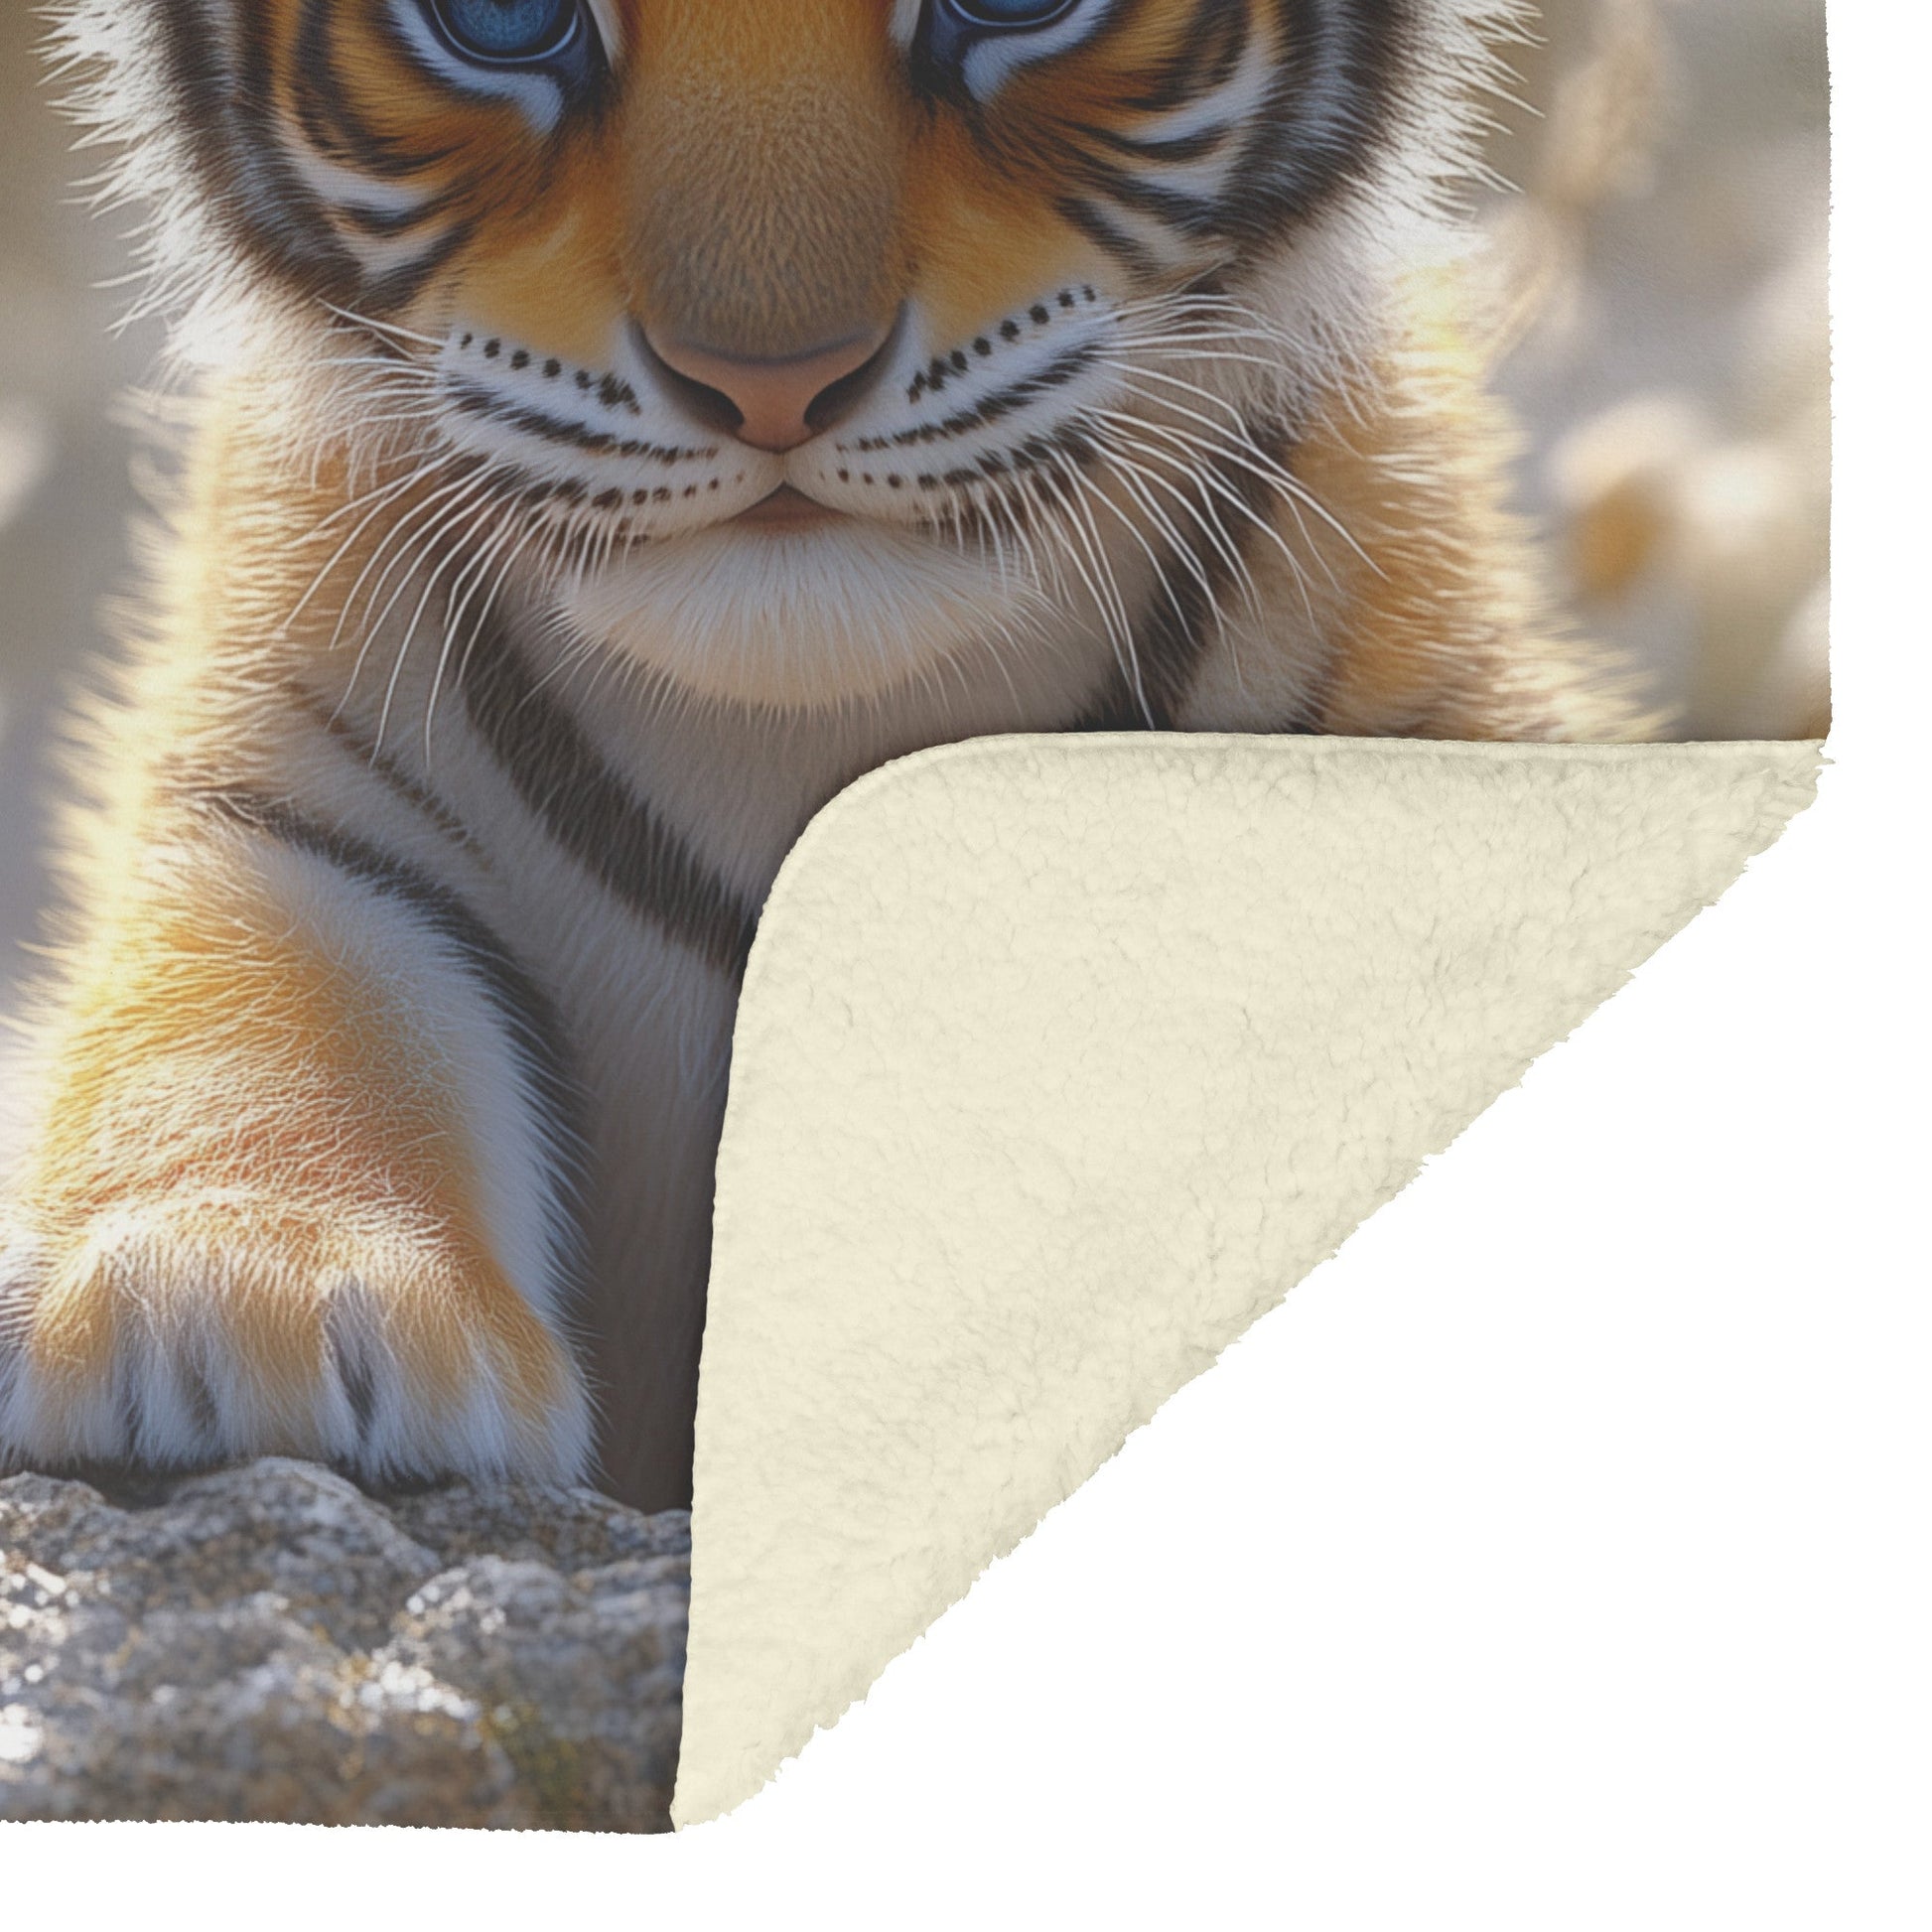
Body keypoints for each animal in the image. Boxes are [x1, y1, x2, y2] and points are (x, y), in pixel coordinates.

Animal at [0, 0, 1642, 1512]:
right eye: (504, 21)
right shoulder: (291, 793)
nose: (773, 384)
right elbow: (248, 1021)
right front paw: (231, 1299)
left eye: (1013, 6)